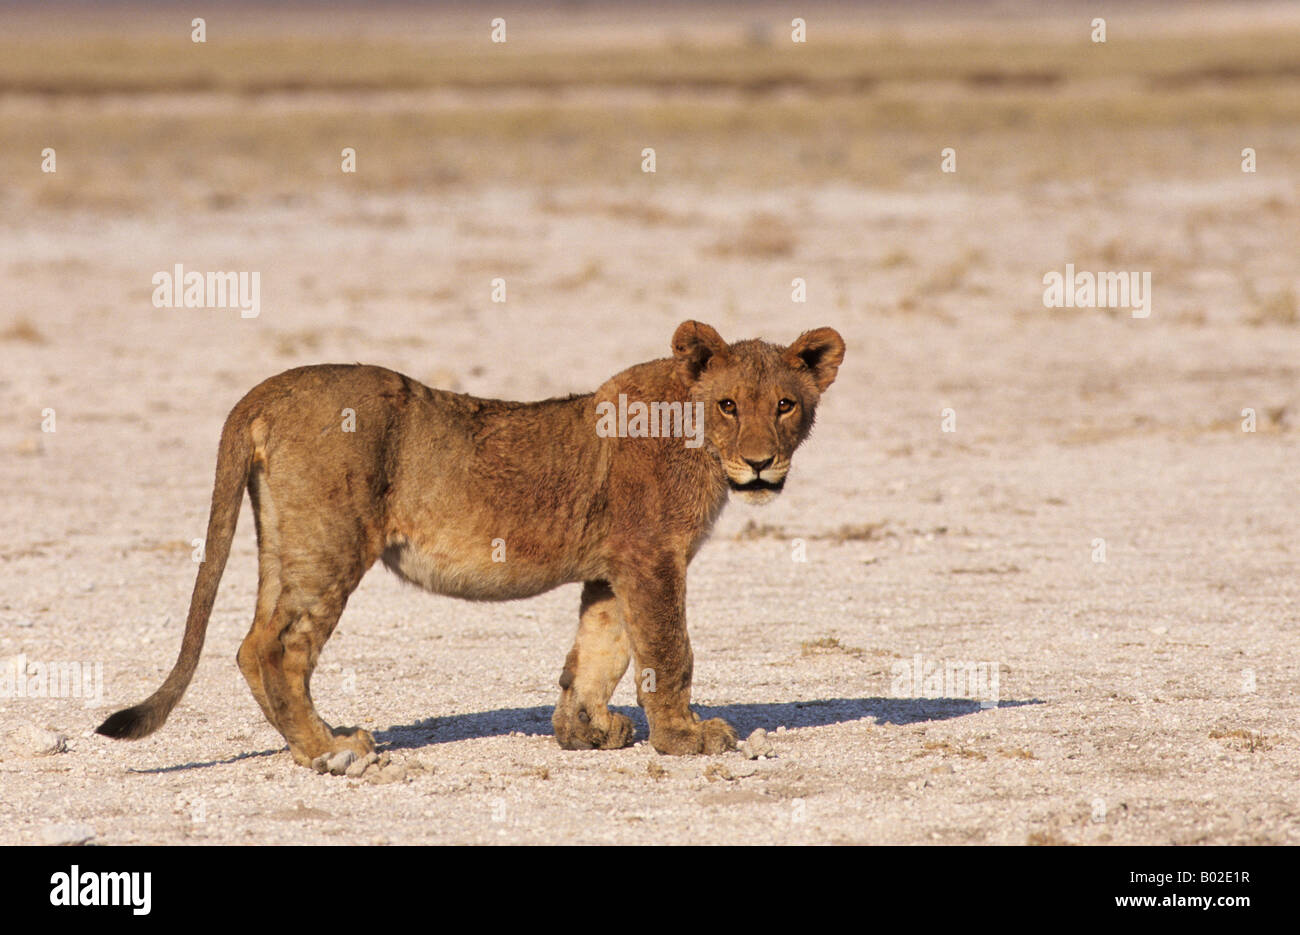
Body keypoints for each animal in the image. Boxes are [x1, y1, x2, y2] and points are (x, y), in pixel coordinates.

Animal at [97, 320, 845, 766]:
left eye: (785, 404)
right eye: (729, 405)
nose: (759, 463)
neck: (694, 432)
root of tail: (266, 389)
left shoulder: (614, 566)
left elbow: (598, 651)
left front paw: (585, 730)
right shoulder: (651, 557)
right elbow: (668, 651)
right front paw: (687, 737)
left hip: (289, 543)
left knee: (259, 640)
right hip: (329, 544)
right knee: (271, 648)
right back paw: (333, 749)